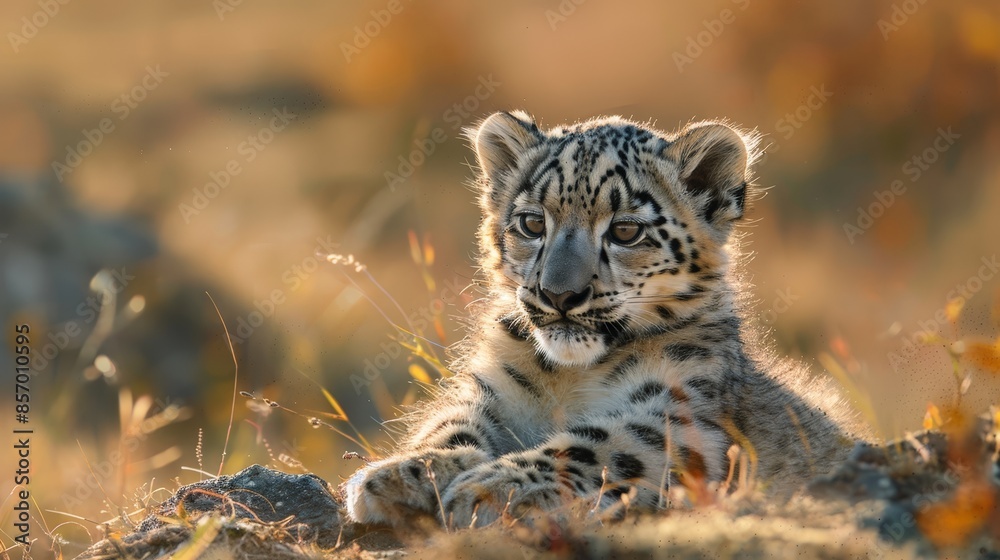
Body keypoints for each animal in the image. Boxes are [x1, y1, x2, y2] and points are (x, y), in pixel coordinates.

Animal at [343, 111, 864, 528]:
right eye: (532, 223)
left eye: (626, 231)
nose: (559, 294)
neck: (569, 376)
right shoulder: (493, 388)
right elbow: (449, 421)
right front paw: (407, 471)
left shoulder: (676, 411)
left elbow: (596, 443)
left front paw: (493, 486)